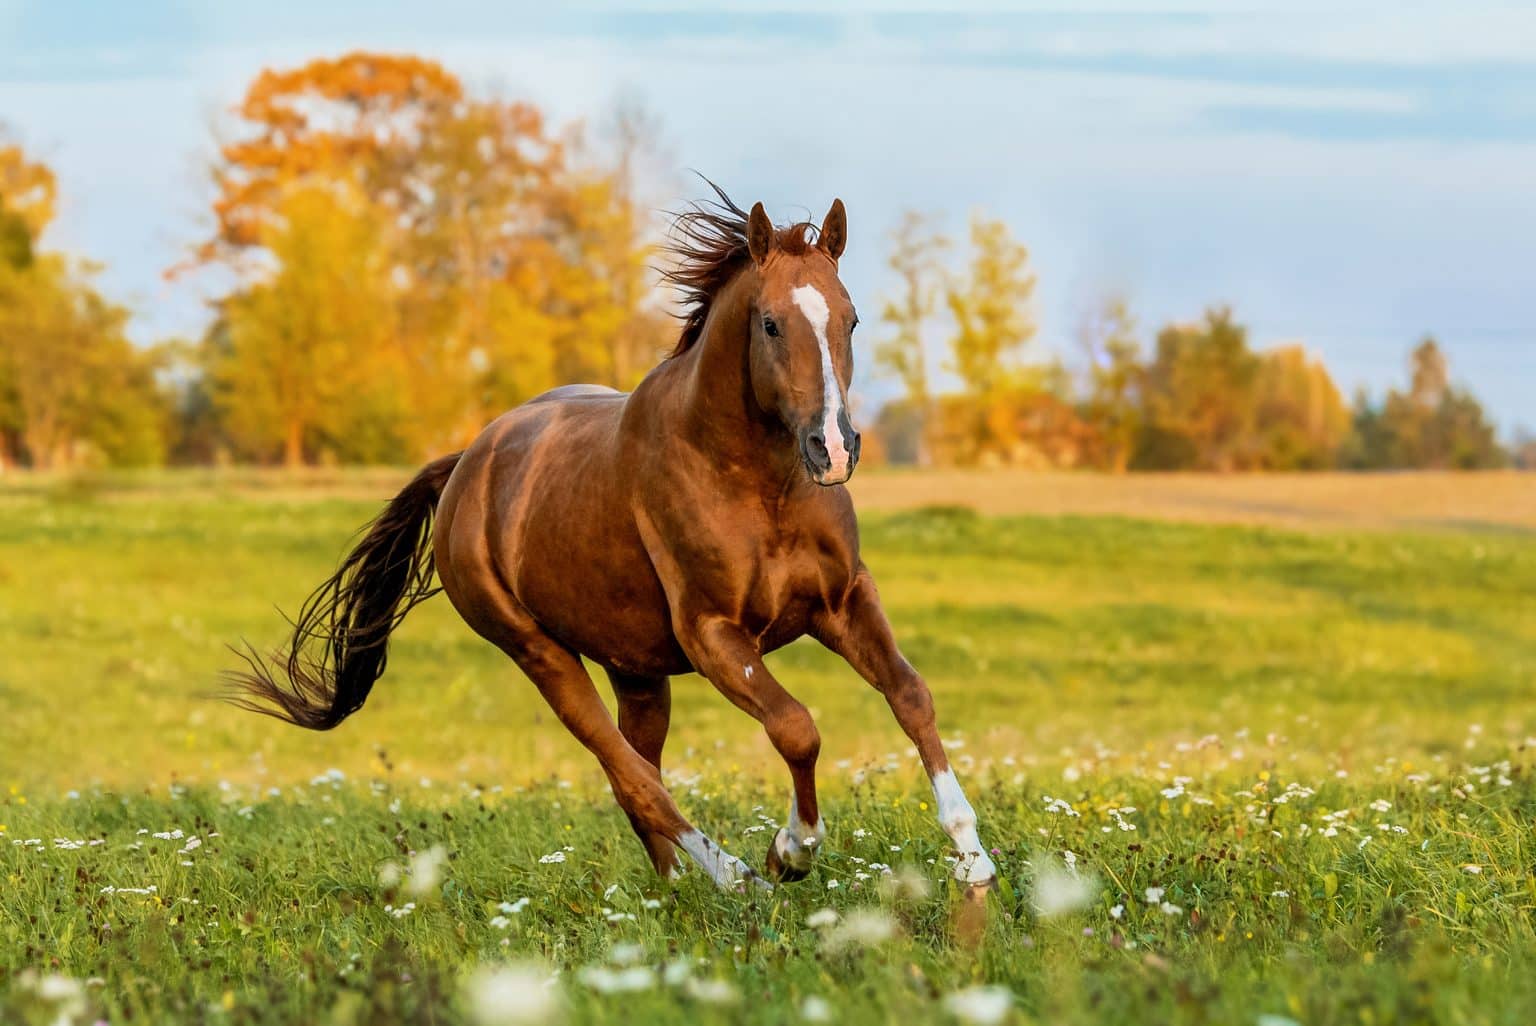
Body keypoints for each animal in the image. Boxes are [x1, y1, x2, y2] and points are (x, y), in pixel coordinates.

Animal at [227, 184, 998, 894]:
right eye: (772, 324)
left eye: (851, 318)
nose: (833, 449)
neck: (757, 485)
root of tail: (465, 466)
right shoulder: (714, 635)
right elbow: (795, 727)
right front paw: (791, 851)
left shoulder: (841, 603)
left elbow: (910, 694)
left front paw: (973, 860)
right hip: (540, 654)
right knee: (633, 777)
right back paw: (736, 879)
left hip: (636, 670)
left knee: (639, 770)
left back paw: (677, 888)